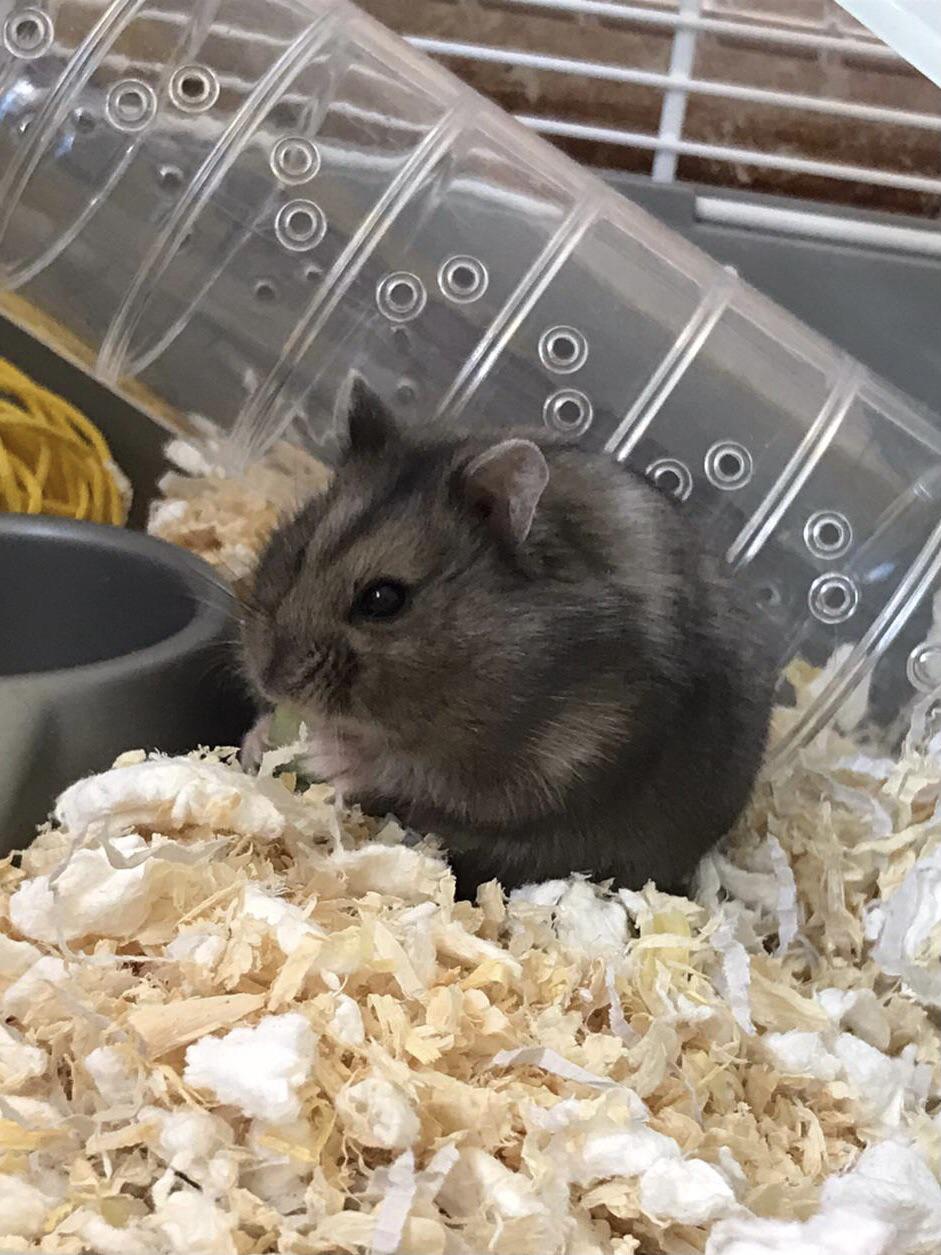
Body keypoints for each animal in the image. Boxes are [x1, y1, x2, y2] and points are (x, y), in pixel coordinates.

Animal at [241, 379, 776, 900]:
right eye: (300, 550)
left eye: (383, 598)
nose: (270, 681)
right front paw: (259, 735)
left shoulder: (553, 758)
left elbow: (409, 773)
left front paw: (324, 755)